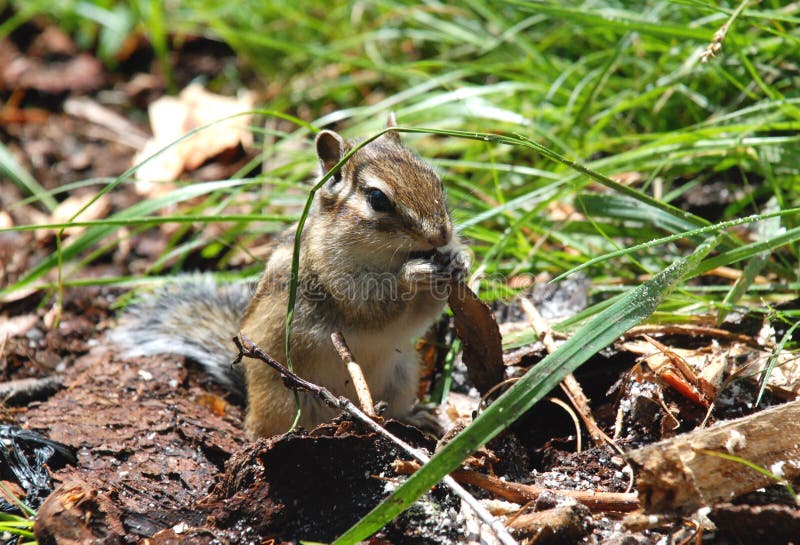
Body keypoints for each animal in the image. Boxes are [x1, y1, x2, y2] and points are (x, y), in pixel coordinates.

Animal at [110, 114, 470, 438]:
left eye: (436, 180)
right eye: (377, 199)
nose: (441, 235)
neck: (387, 256)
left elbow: (418, 317)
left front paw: (460, 260)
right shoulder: (335, 278)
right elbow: (371, 307)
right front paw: (415, 274)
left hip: (402, 375)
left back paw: (416, 418)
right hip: (286, 400)